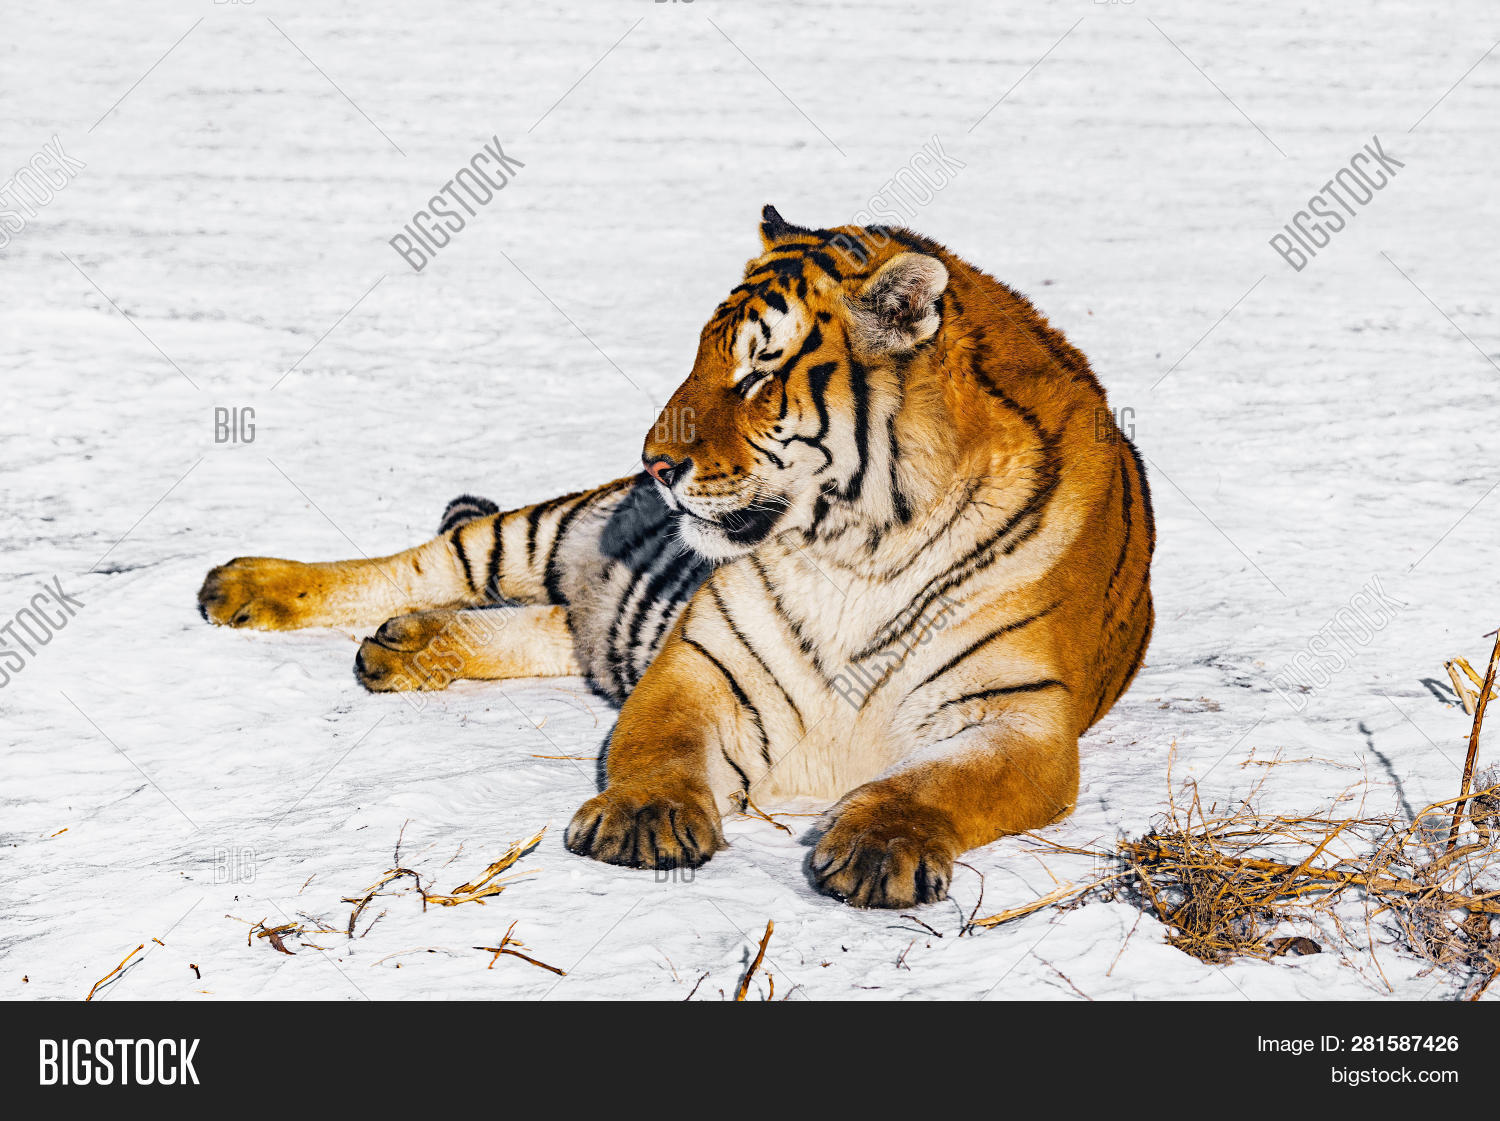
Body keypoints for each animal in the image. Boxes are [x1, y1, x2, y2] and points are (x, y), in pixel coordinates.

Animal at [197, 205, 1154, 909]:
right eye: (701, 354)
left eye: (759, 374)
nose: (654, 461)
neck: (861, 547)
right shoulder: (700, 658)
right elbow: (658, 747)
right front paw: (644, 820)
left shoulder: (1023, 716)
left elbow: (939, 787)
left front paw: (878, 849)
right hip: (542, 532)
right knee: (427, 561)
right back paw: (241, 586)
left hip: (588, 612)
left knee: (537, 625)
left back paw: (404, 646)